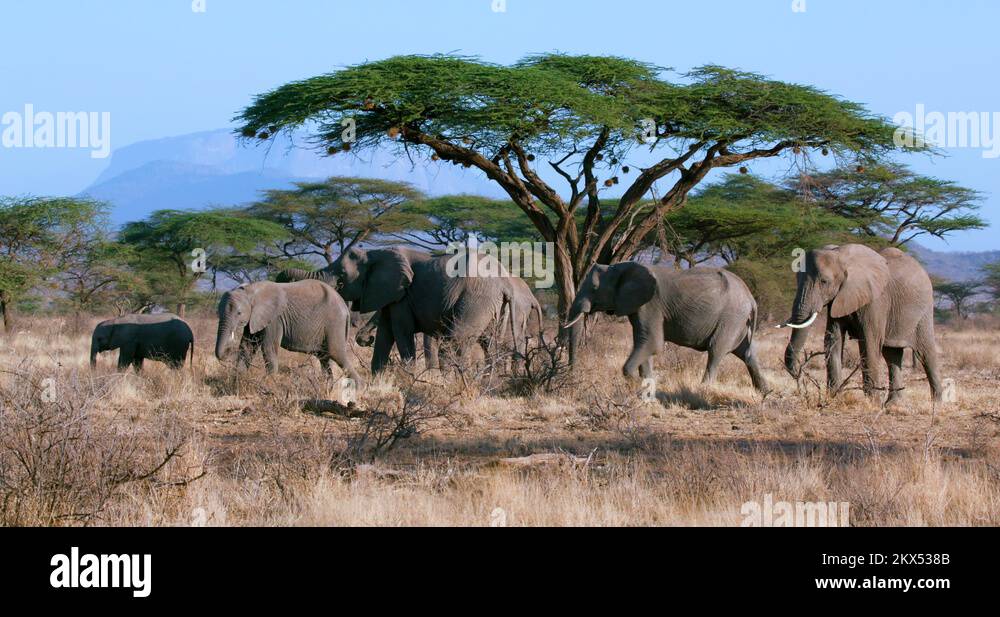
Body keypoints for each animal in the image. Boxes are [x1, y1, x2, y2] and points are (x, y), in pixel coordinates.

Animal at [215, 279, 361, 383]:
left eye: (239, 313)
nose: (229, 348)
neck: (251, 290)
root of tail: (346, 308)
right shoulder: (255, 318)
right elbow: (246, 347)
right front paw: (237, 381)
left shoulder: (274, 318)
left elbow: (268, 348)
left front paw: (269, 385)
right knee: (324, 358)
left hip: (335, 323)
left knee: (336, 353)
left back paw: (359, 389)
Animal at [279, 247, 523, 373]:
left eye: (341, 277)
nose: (280, 279)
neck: (375, 254)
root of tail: (505, 283)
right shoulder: (391, 297)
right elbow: (385, 337)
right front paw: (378, 382)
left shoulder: (403, 298)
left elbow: (401, 333)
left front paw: (408, 382)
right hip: (493, 306)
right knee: (490, 344)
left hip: (476, 300)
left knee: (455, 343)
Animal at [564, 263, 769, 392]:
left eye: (594, 288)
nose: (573, 374)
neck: (620, 267)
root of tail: (751, 299)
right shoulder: (638, 306)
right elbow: (644, 345)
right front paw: (647, 386)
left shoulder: (650, 305)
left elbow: (652, 344)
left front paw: (636, 384)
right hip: (739, 322)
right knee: (746, 353)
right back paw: (765, 393)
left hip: (731, 318)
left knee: (716, 351)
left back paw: (703, 389)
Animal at [781, 244, 942, 406]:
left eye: (824, 281)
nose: (799, 374)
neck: (841, 255)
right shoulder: (838, 299)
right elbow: (833, 341)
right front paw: (834, 398)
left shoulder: (876, 300)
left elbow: (869, 342)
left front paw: (872, 403)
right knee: (891, 355)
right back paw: (892, 404)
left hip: (924, 312)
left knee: (925, 353)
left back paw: (937, 403)